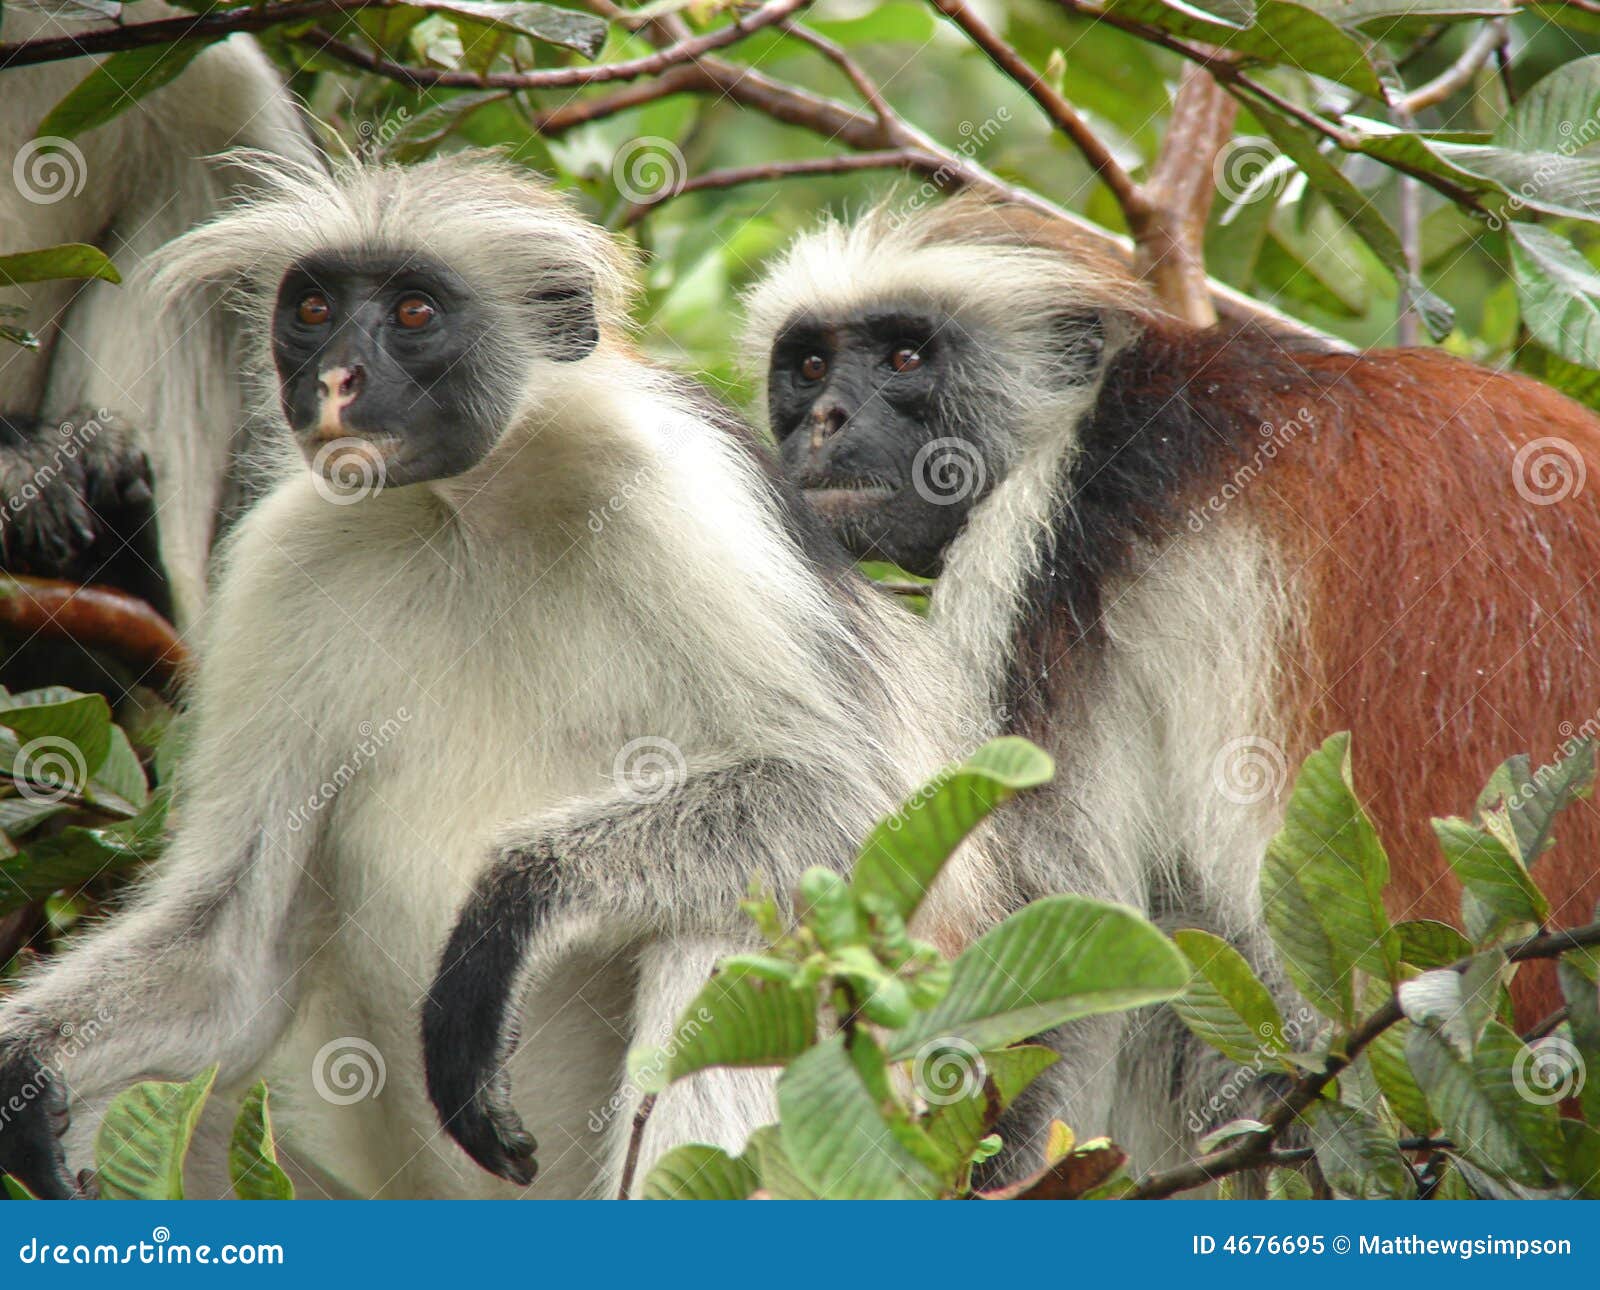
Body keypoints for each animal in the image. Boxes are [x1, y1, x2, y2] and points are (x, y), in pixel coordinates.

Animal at [0, 155, 1001, 1199]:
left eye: (413, 312)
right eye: (313, 309)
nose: (333, 379)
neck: (473, 512)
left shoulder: (683, 490)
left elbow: (859, 802)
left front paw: (504, 918)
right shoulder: (287, 554)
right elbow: (232, 954)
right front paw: (24, 1076)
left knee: (743, 917)